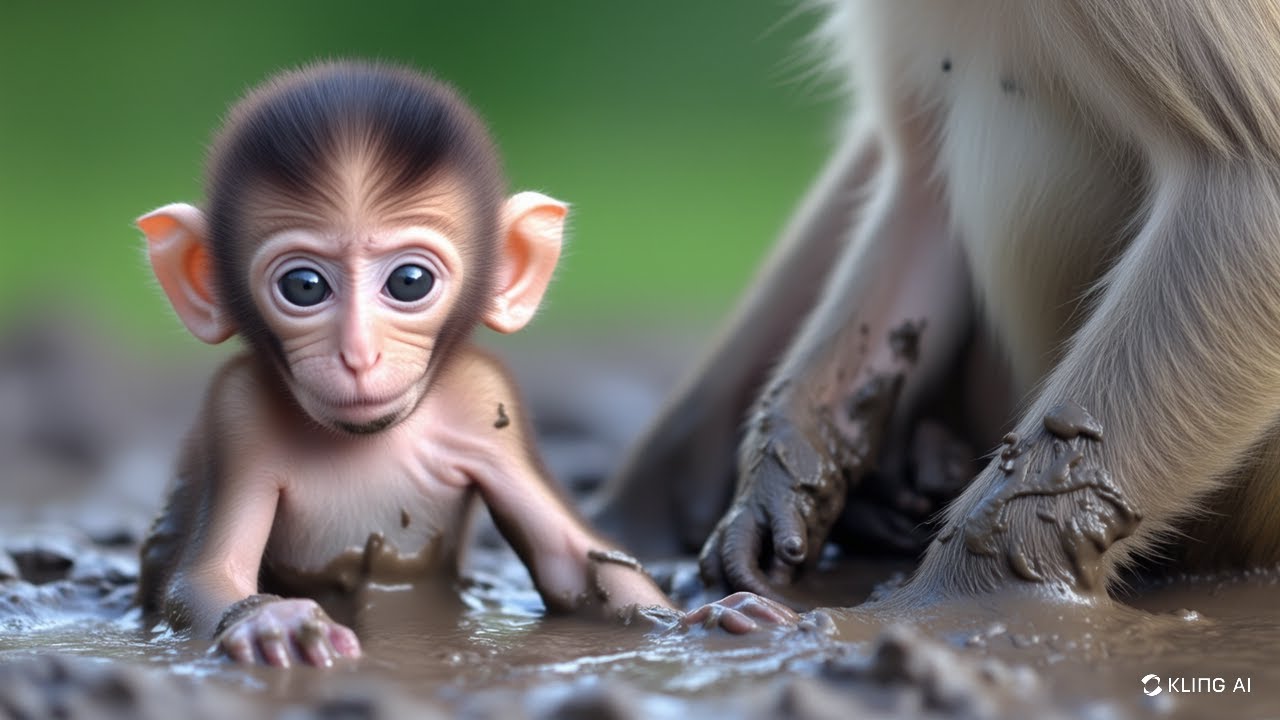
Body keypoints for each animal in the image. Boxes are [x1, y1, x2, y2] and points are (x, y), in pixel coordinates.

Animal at [133, 61, 682, 667]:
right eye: (304, 287)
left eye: (409, 281)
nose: (359, 353)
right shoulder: (235, 408)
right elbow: (206, 576)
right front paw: (272, 621)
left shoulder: (486, 396)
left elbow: (569, 561)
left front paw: (694, 619)